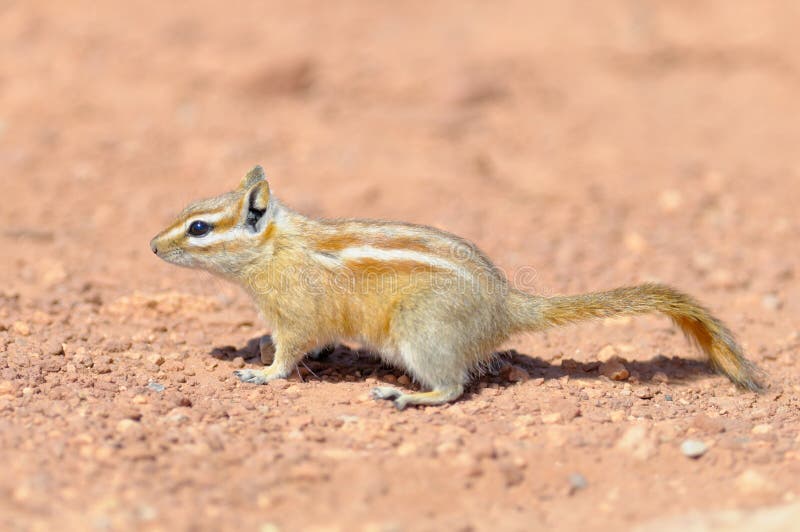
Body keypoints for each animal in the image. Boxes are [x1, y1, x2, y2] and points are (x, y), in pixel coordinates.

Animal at [150, 165, 763, 409]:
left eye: (199, 227)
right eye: (187, 211)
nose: (152, 247)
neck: (278, 246)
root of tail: (505, 307)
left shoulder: (297, 312)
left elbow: (291, 350)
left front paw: (262, 371)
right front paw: (258, 347)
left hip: (421, 329)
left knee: (453, 388)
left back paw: (406, 395)